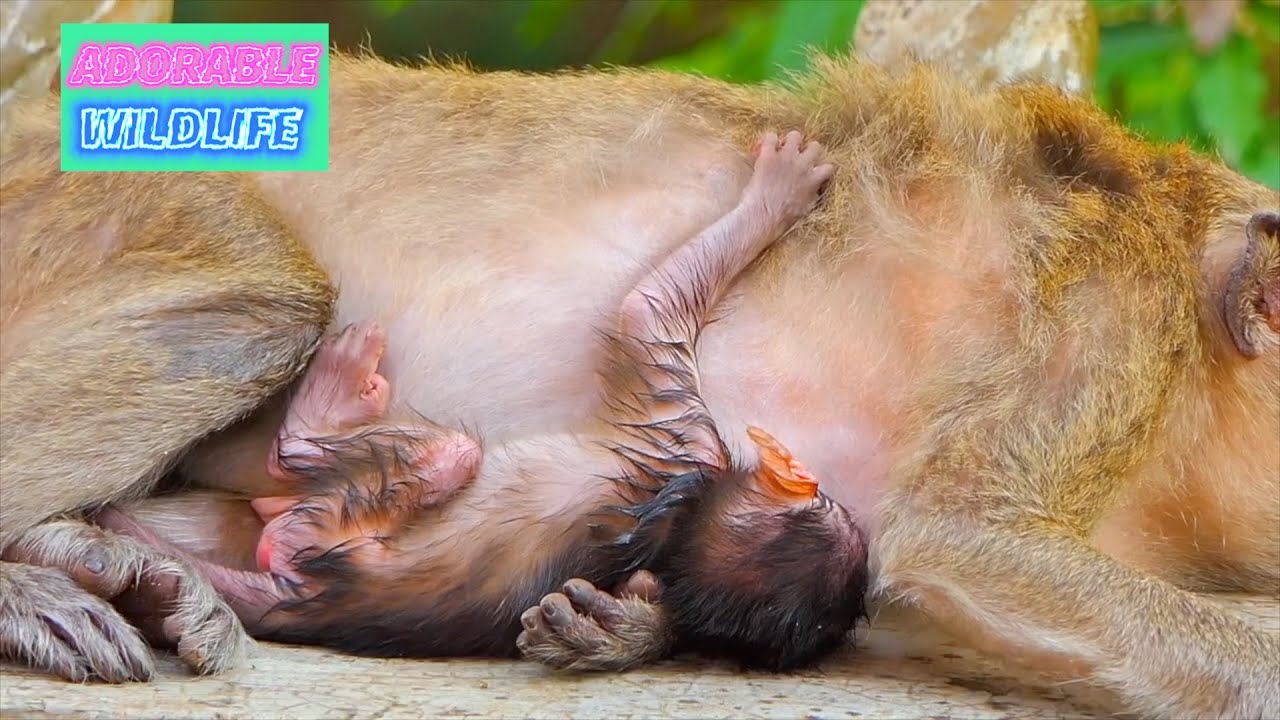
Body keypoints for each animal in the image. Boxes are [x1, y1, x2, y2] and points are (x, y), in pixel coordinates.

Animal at [92, 129, 868, 673]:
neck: (688, 515)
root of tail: (312, 603)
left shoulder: (681, 427)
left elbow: (644, 309)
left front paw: (774, 195)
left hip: (326, 540)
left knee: (434, 458)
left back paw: (319, 421)